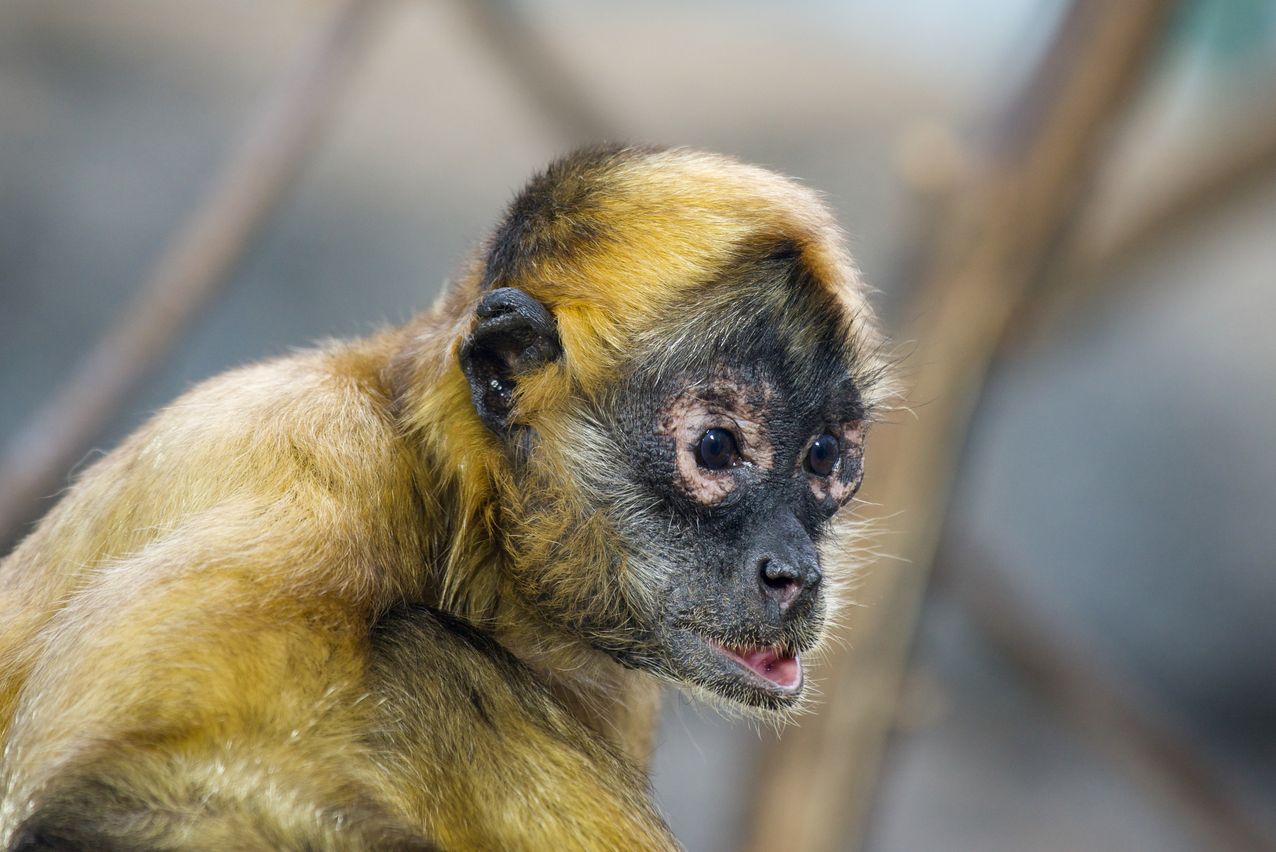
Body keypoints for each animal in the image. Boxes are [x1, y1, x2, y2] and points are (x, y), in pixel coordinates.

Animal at [0, 145, 889, 850]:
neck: (436, 472)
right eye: (715, 450)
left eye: (824, 458)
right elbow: (105, 793)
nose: (795, 571)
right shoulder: (313, 464)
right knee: (425, 653)